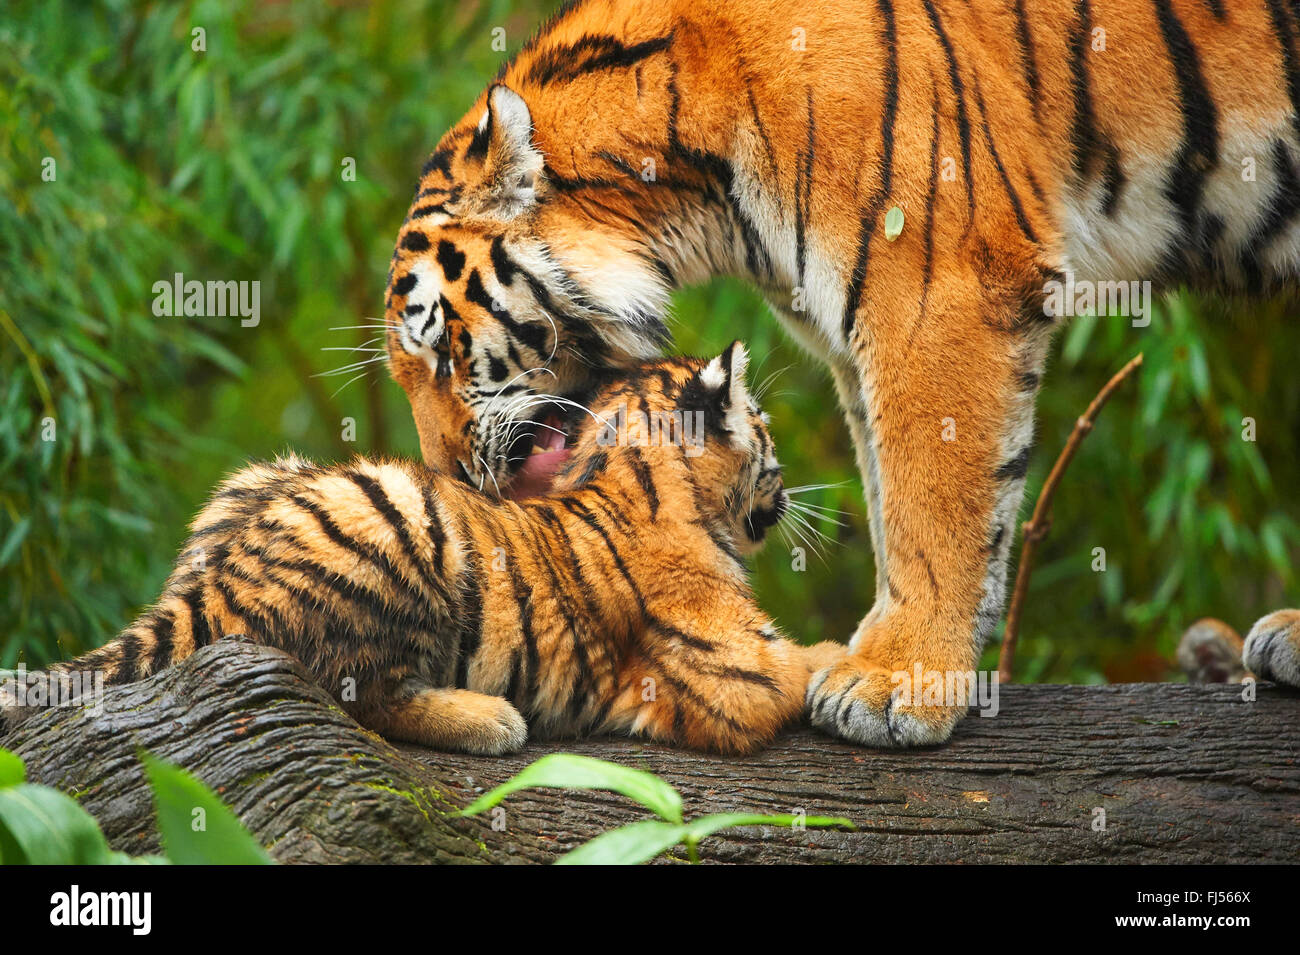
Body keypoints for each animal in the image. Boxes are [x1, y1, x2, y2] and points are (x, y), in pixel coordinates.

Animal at [1, 347, 844, 755]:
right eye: (766, 428)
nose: (788, 487)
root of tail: (217, 581)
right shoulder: (737, 676)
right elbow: (801, 659)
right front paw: (853, 667)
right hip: (403, 517)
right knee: (358, 692)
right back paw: (491, 719)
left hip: (260, 474)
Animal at [383, 0, 1300, 748]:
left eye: (440, 351)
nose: (446, 470)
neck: (696, 198)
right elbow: (905, 497)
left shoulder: (936, 285)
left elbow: (933, 498)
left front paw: (900, 684)